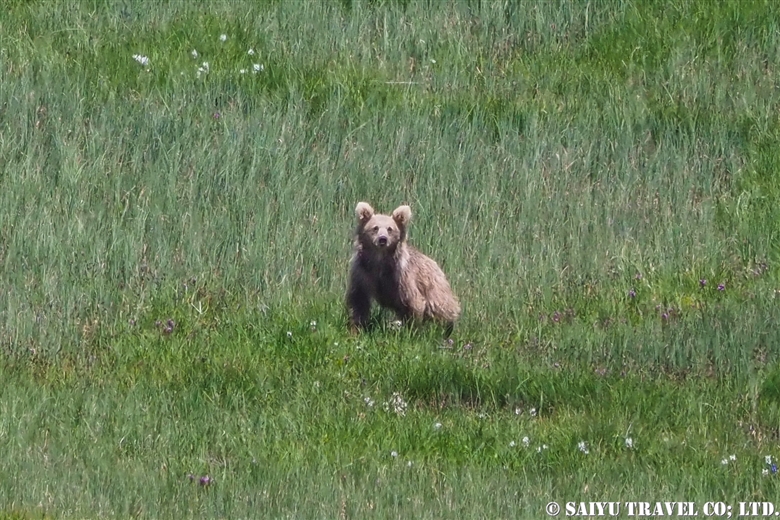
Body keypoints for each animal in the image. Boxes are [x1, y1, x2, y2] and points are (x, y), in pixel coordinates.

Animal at [346, 202, 461, 334]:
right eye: (375, 228)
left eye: (390, 229)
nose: (382, 239)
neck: (379, 261)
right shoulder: (362, 272)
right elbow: (358, 299)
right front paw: (356, 328)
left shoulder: (401, 276)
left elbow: (414, 302)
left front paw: (412, 331)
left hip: (435, 288)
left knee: (441, 307)